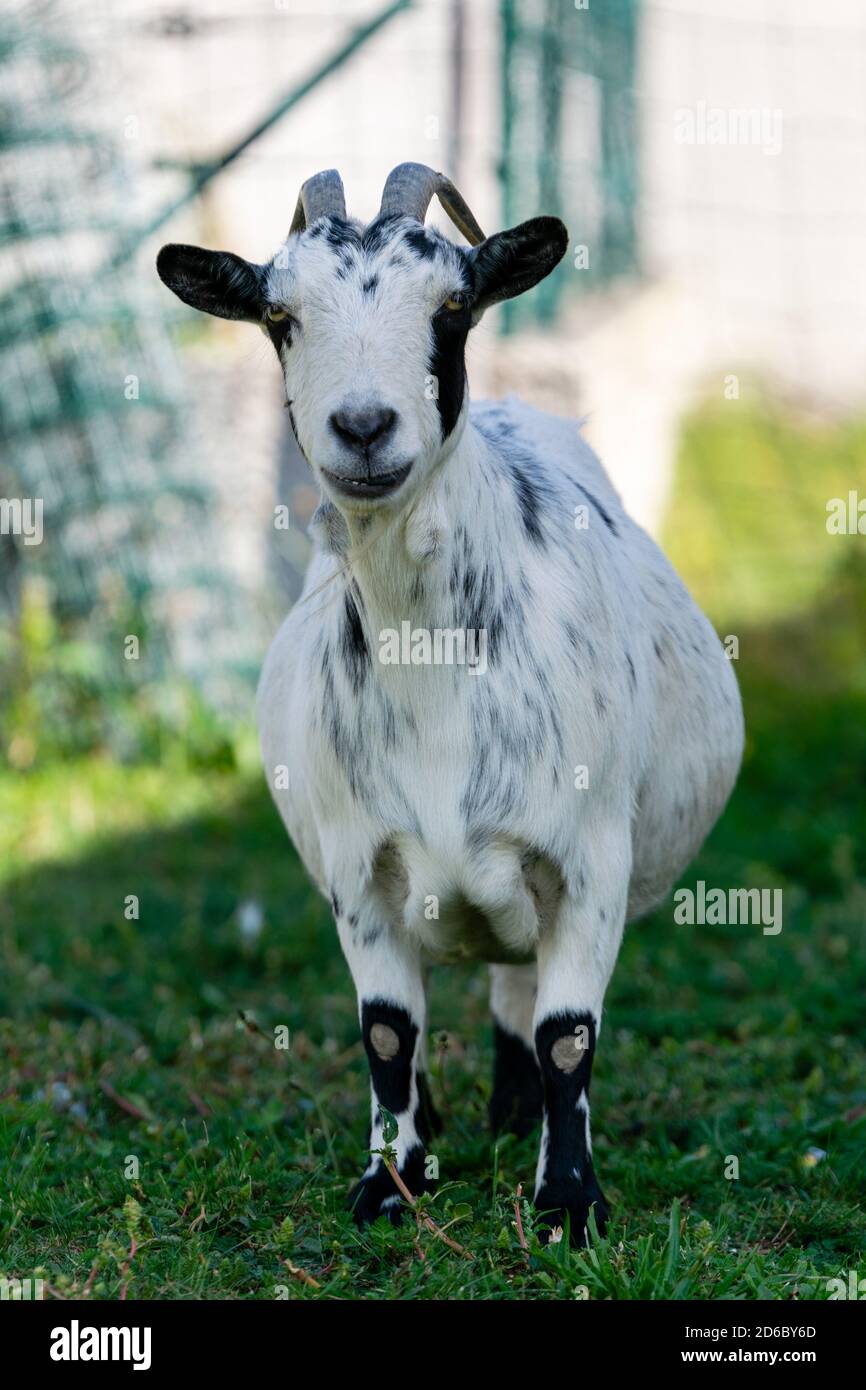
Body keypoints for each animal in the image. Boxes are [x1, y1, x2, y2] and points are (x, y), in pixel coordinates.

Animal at [156, 164, 744, 1245]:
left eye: (453, 306)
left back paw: (515, 1117)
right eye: (278, 315)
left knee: (519, 997)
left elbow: (567, 1036)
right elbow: (388, 1032)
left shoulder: (588, 860)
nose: (362, 427)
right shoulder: (357, 868)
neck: (435, 679)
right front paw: (391, 1181)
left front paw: (569, 1203)